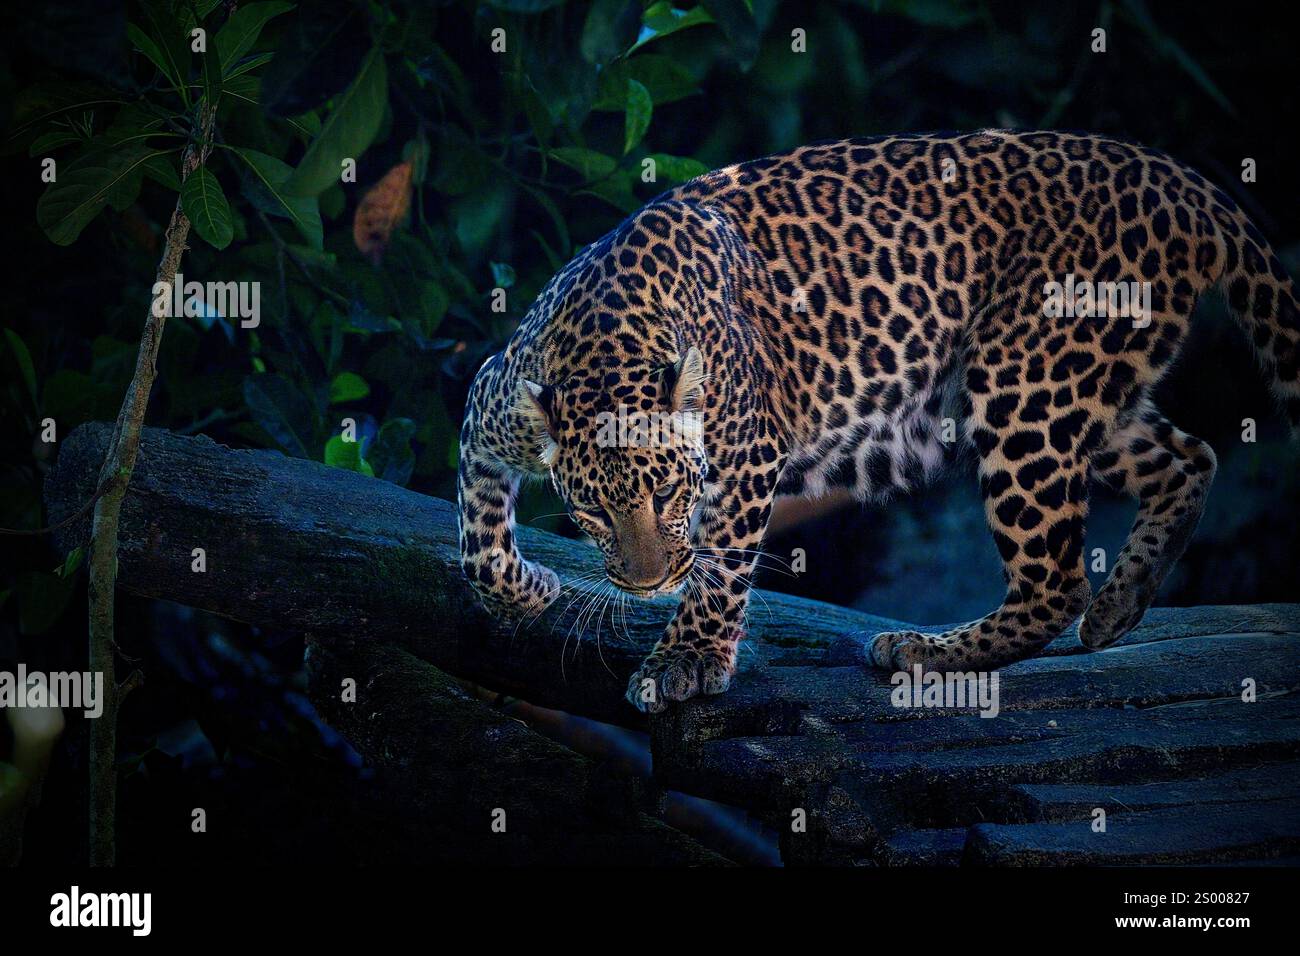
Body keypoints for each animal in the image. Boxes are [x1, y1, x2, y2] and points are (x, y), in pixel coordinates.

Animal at [455, 130, 1300, 715]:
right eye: (593, 510)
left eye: (669, 496)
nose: (648, 580)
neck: (601, 343)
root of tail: (1174, 176)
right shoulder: (490, 401)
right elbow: (476, 541)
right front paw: (525, 589)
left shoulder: (749, 452)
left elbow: (723, 565)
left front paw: (685, 660)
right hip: (1082, 387)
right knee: (1191, 455)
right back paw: (1124, 601)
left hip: (1025, 382)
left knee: (1054, 580)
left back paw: (924, 650)